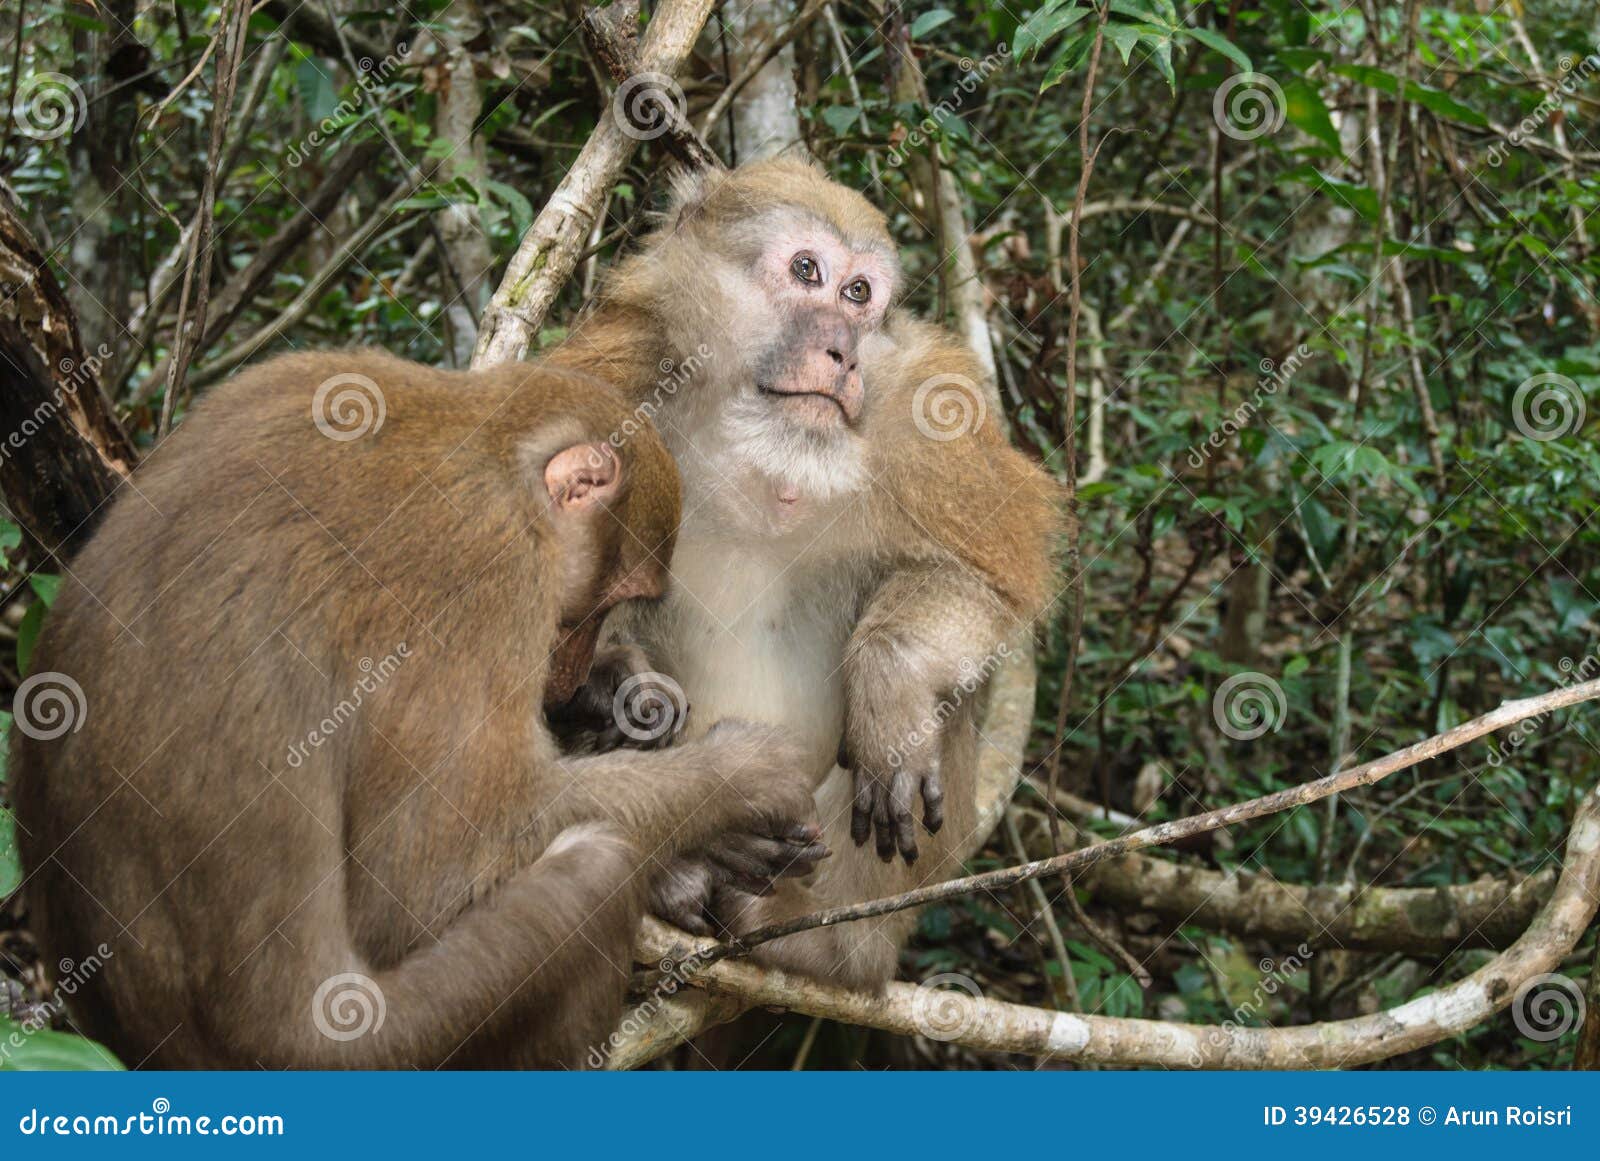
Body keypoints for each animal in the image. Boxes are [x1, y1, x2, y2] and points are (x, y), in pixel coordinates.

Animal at [9, 349, 827, 1067]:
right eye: (599, 604)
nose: (564, 671)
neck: (488, 450)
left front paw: (619, 690)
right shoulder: (487, 573)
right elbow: (419, 881)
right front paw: (737, 789)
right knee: (594, 862)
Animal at [545, 157, 1064, 989]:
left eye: (858, 294)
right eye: (806, 271)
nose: (843, 353)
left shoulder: (929, 409)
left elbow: (986, 570)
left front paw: (891, 684)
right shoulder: (613, 373)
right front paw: (615, 687)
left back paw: (824, 942)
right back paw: (680, 864)